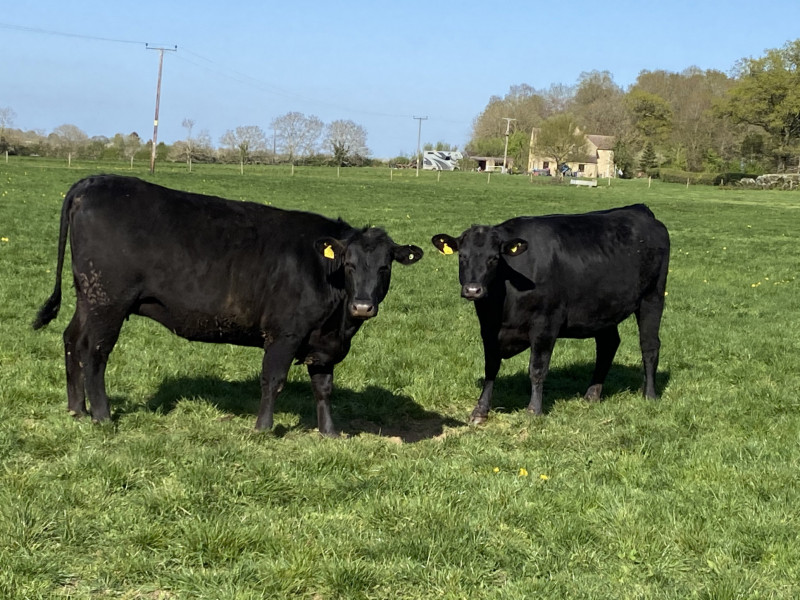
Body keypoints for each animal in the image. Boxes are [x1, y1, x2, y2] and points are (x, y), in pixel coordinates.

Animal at [33, 175, 423, 436]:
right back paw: (102, 415)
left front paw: (328, 432)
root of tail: (94, 182)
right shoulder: (285, 333)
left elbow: (323, 387)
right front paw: (263, 428)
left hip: (88, 298)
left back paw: (76, 409)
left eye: (385, 267)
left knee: (72, 340)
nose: (362, 306)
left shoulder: (324, 341)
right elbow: (273, 380)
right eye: (350, 264)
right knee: (94, 351)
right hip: (108, 303)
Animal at [431, 204, 669, 423]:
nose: (473, 290)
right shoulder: (488, 329)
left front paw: (534, 410)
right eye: (462, 256)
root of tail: (639, 210)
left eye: (494, 258)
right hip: (603, 310)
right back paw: (592, 394)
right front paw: (480, 410)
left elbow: (537, 368)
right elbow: (491, 367)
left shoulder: (545, 324)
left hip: (652, 297)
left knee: (649, 346)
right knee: (608, 345)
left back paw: (649, 394)